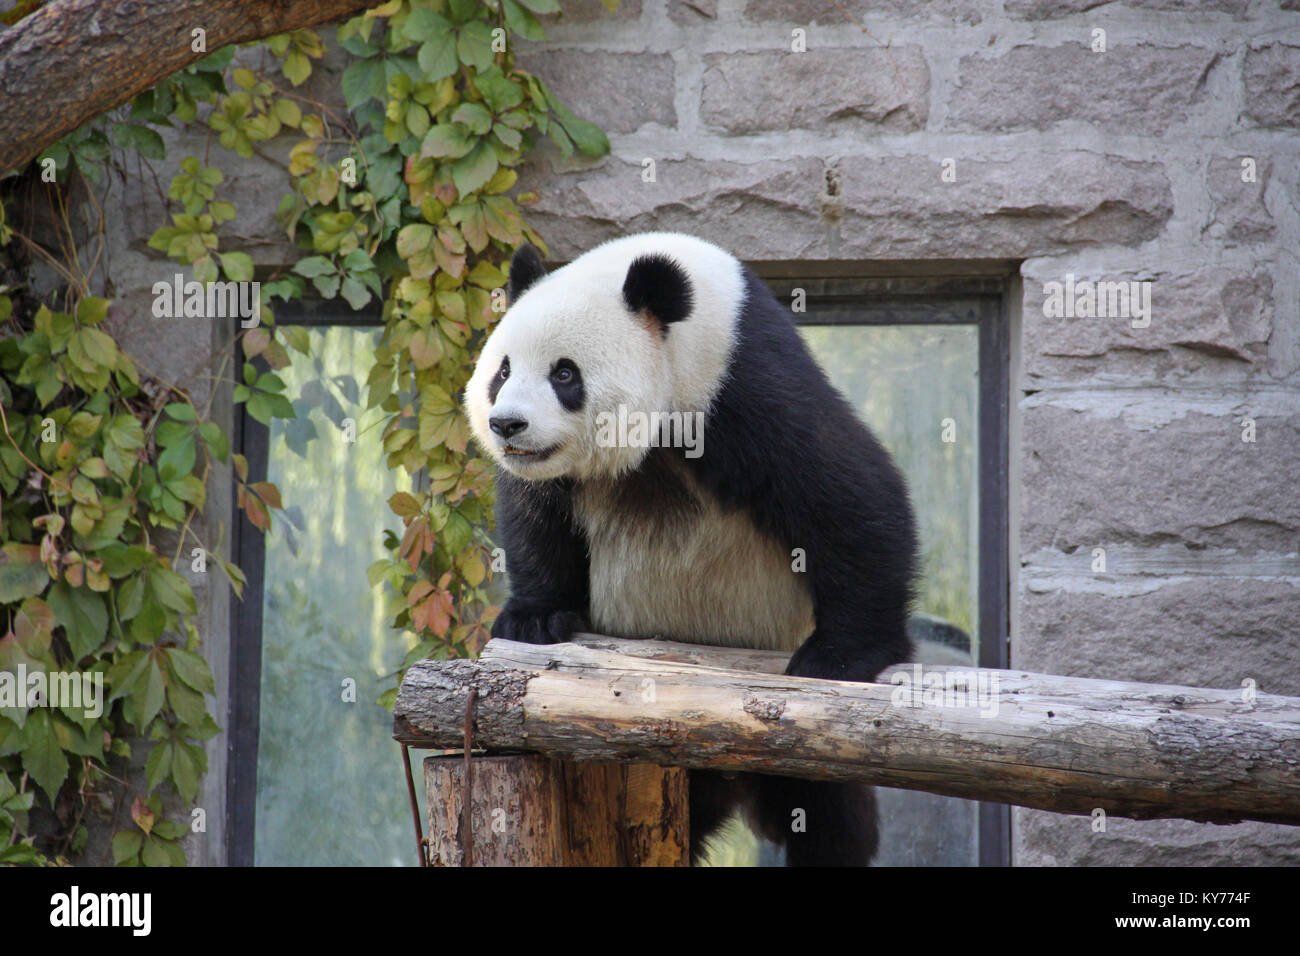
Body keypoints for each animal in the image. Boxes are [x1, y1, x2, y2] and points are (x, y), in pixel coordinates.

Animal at [465, 232, 918, 866]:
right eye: (502, 369)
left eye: (564, 374)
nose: (507, 424)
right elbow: (537, 518)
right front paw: (535, 618)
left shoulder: (739, 383)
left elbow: (849, 493)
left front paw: (841, 655)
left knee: (828, 811)